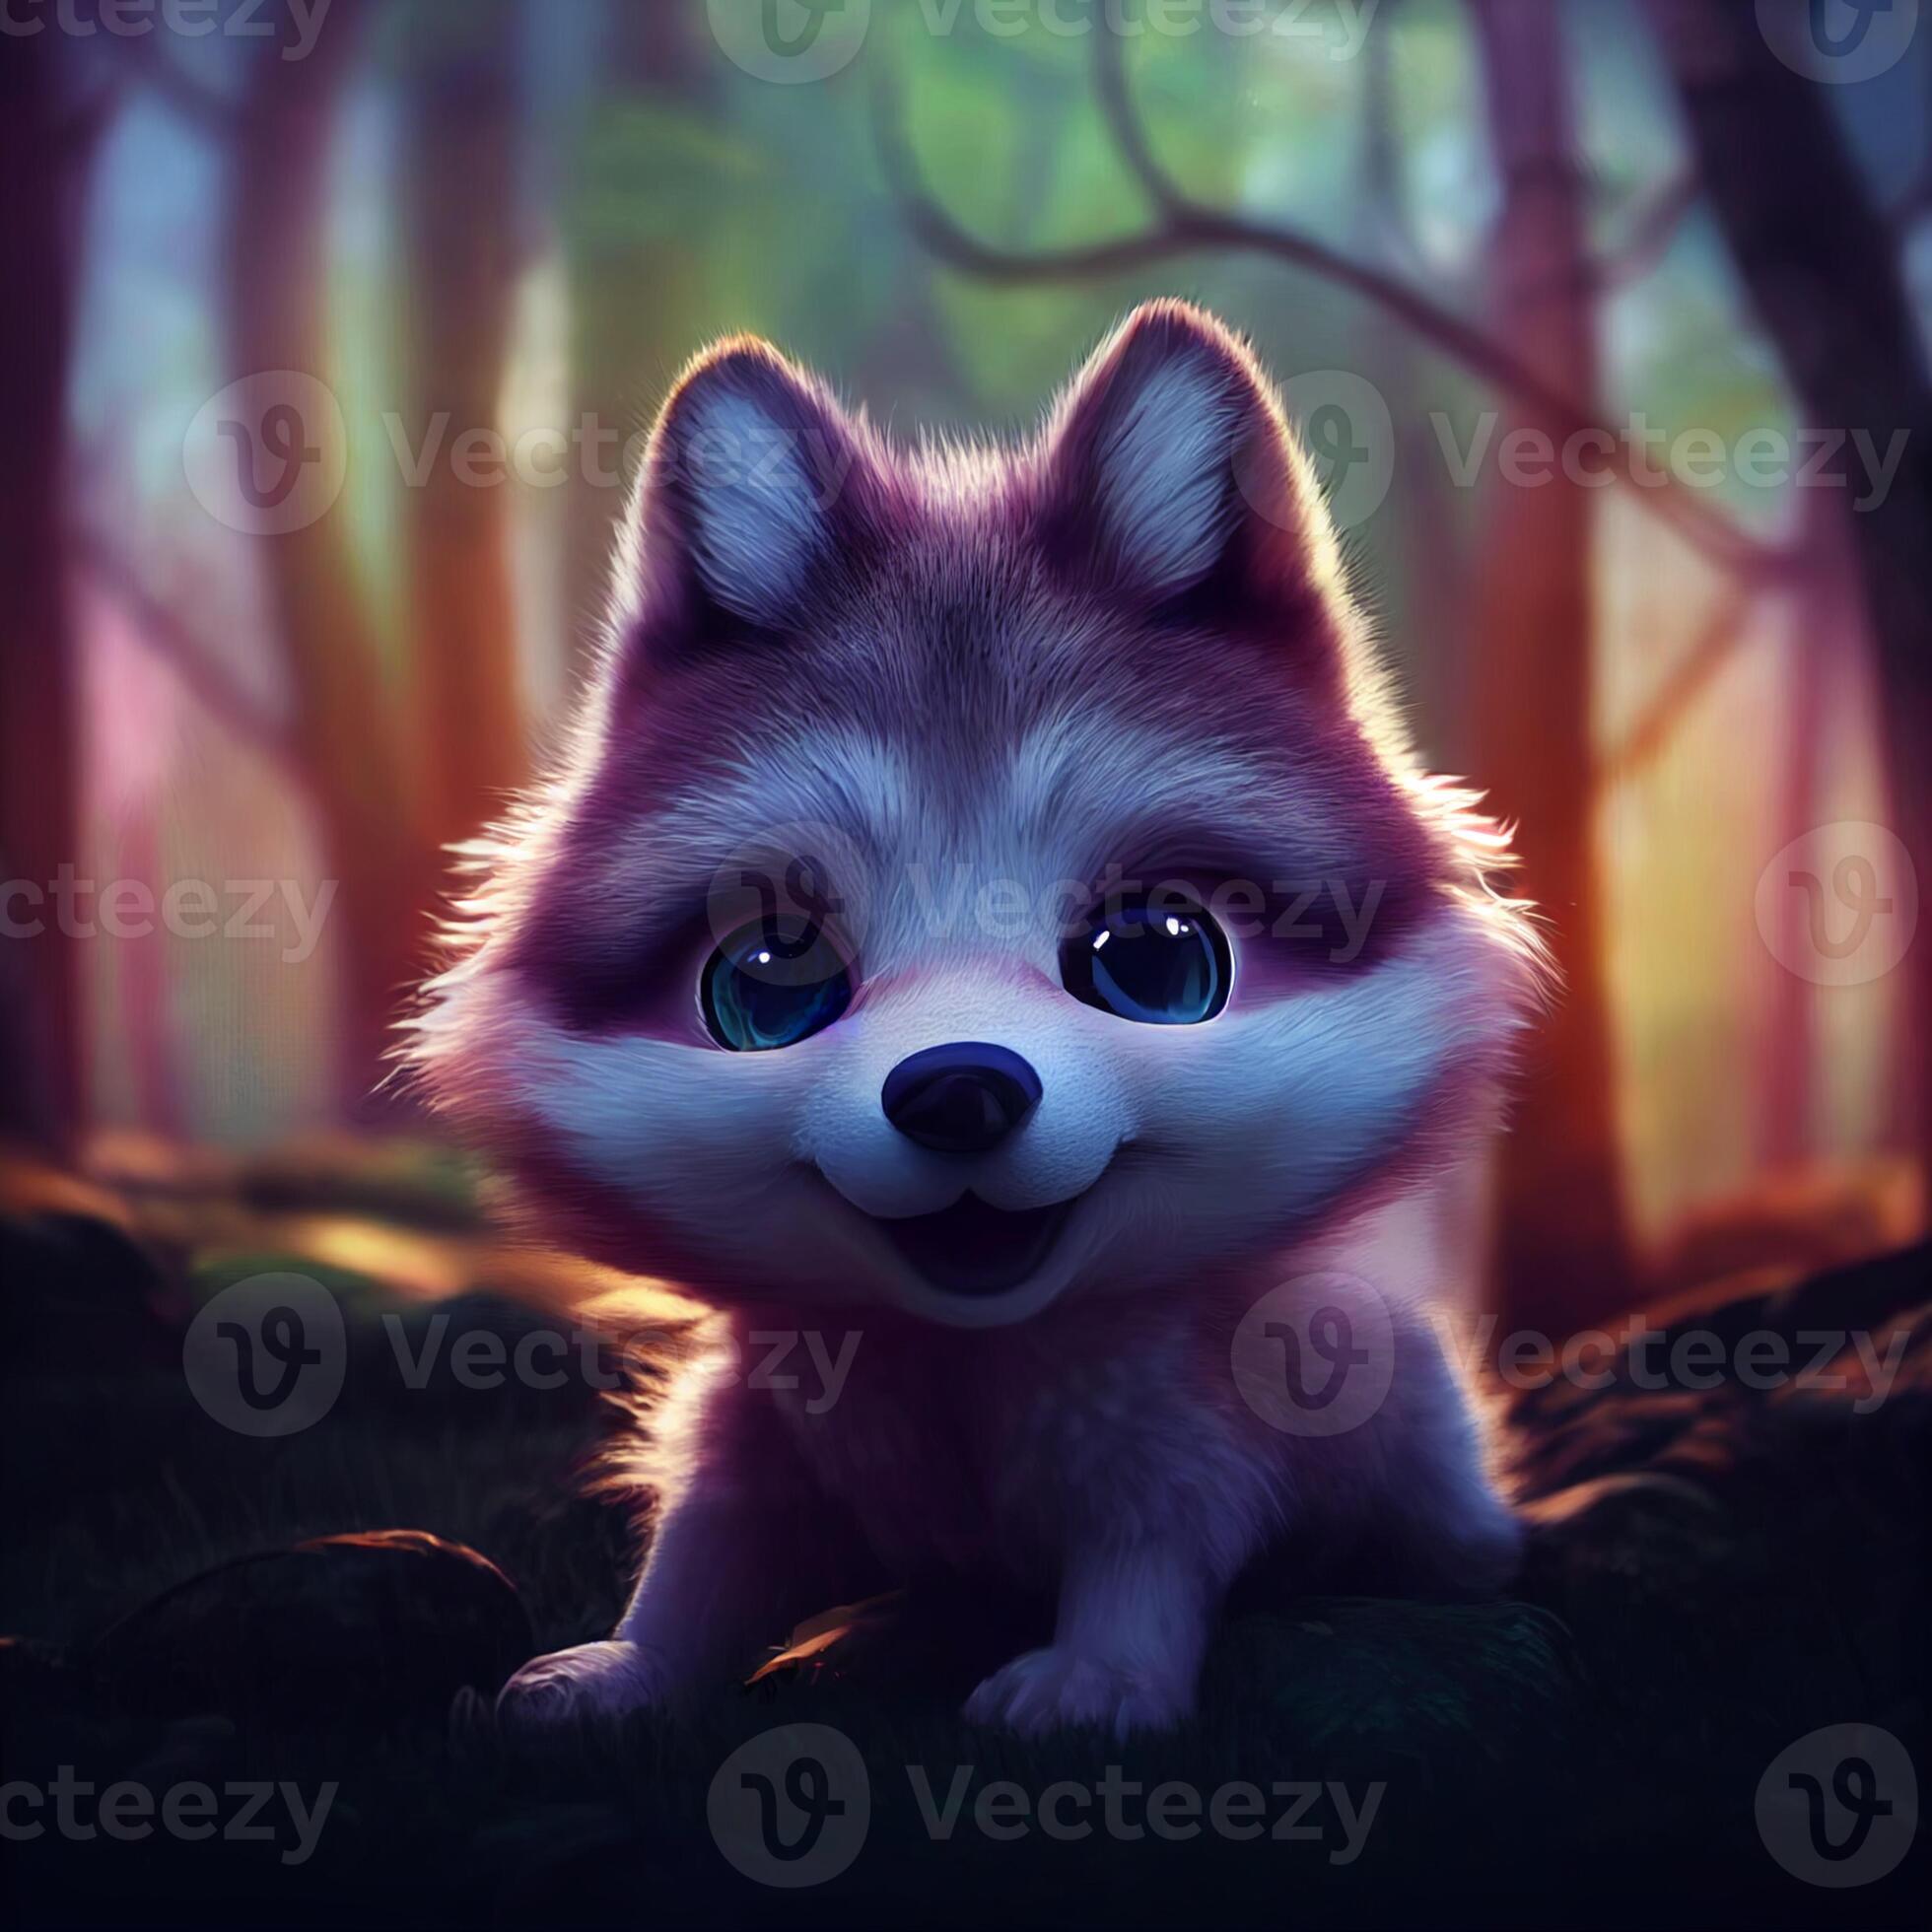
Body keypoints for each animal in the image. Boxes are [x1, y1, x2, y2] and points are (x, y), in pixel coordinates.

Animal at [405, 300, 1544, 1739]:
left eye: (1156, 962)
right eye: (768, 982)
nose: (959, 1088)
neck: (965, 1380)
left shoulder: (1174, 1462)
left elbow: (1147, 1563)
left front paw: (1098, 1680)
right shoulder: (750, 1447)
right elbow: (696, 1569)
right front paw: (627, 1673)